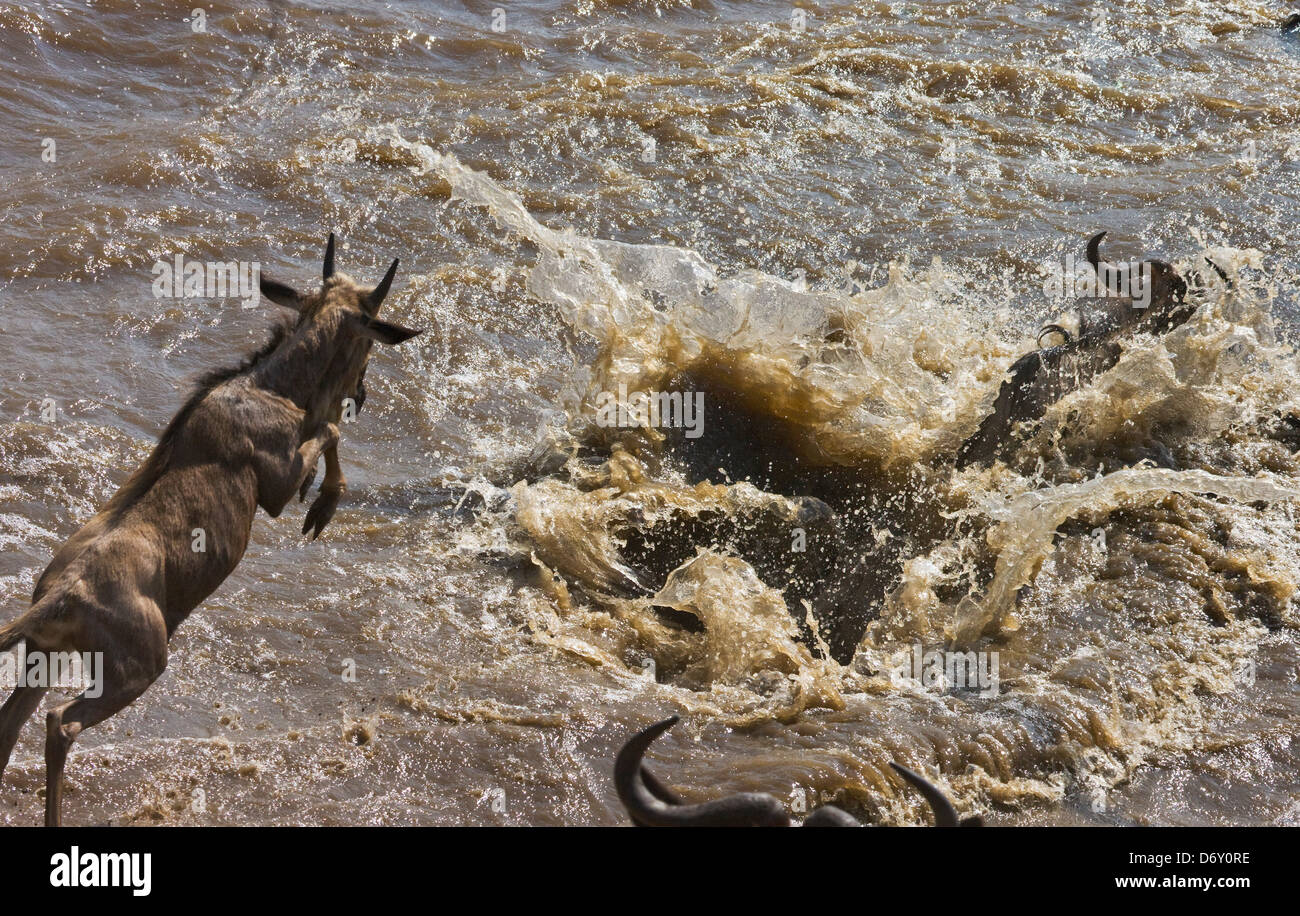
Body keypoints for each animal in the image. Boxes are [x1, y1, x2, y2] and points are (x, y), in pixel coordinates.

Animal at [0, 234, 421, 826]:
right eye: (369, 341)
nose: (361, 393)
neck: (272, 386)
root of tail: (60, 593)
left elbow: (329, 431)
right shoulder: (274, 486)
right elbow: (330, 434)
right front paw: (322, 504)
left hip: (46, 655)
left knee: (9, 724)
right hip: (135, 669)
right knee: (61, 723)